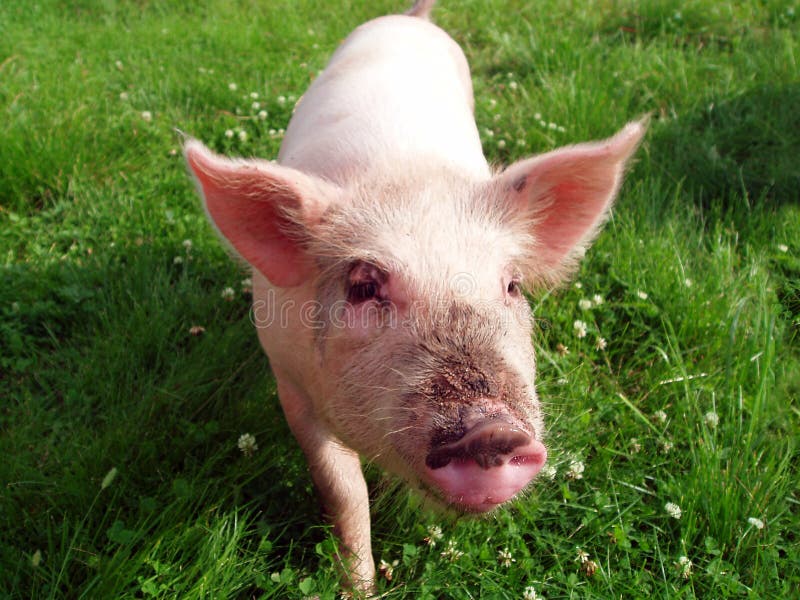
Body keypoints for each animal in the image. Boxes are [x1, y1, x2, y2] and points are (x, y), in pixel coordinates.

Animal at [185, 0, 644, 592]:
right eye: (363, 286)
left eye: (512, 285)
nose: (493, 428)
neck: (403, 175)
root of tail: (413, 18)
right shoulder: (289, 379)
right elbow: (343, 491)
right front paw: (359, 589)